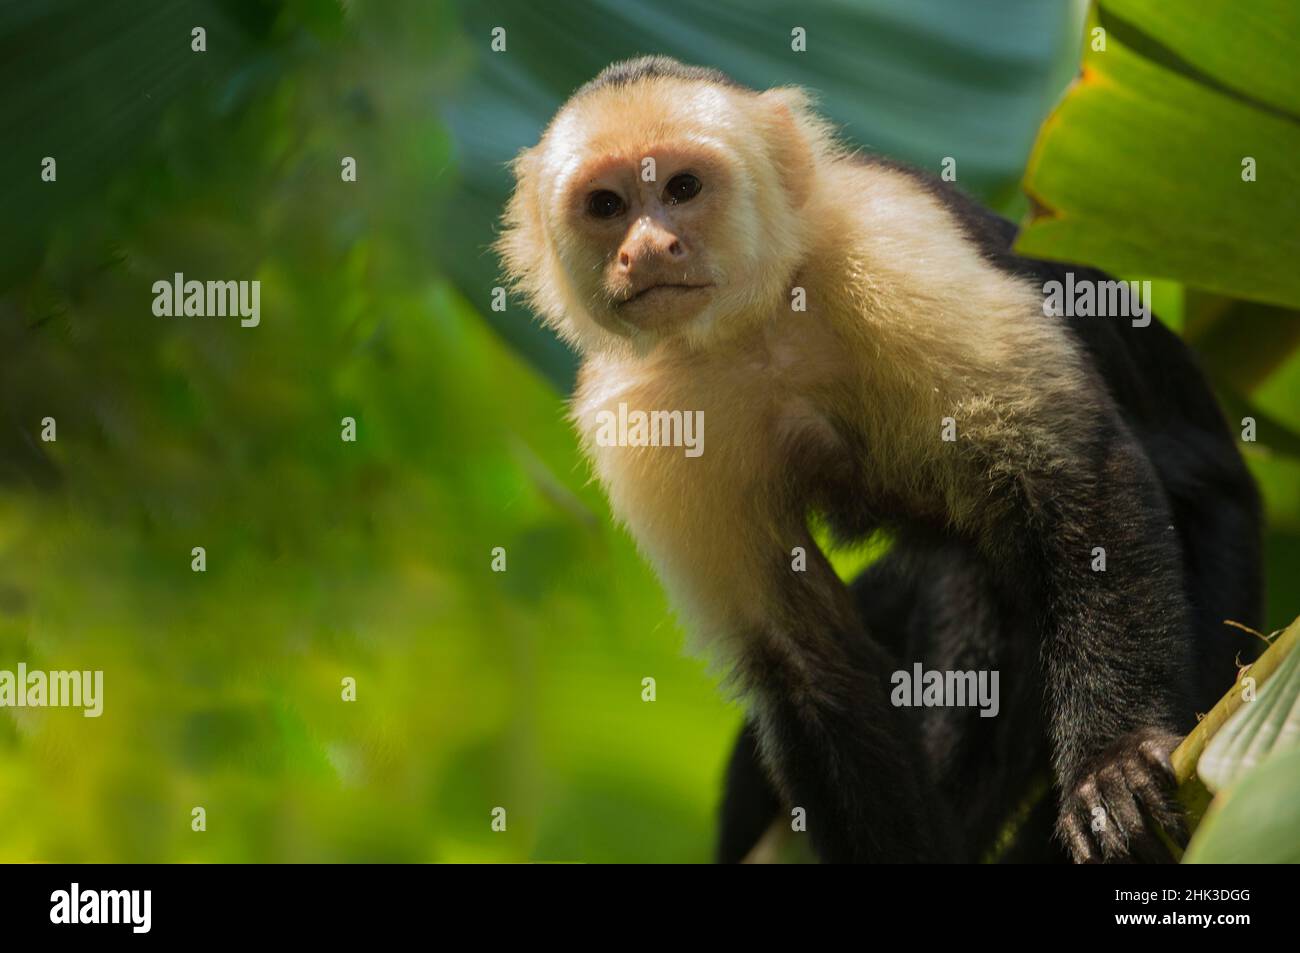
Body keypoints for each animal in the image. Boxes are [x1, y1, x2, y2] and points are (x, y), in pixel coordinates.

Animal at [496, 56, 1263, 863]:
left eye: (682, 188)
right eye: (606, 204)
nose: (646, 249)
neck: (757, 326)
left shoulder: (887, 240)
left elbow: (1072, 468)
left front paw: (1111, 760)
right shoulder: (635, 410)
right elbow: (801, 656)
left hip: (1225, 540)